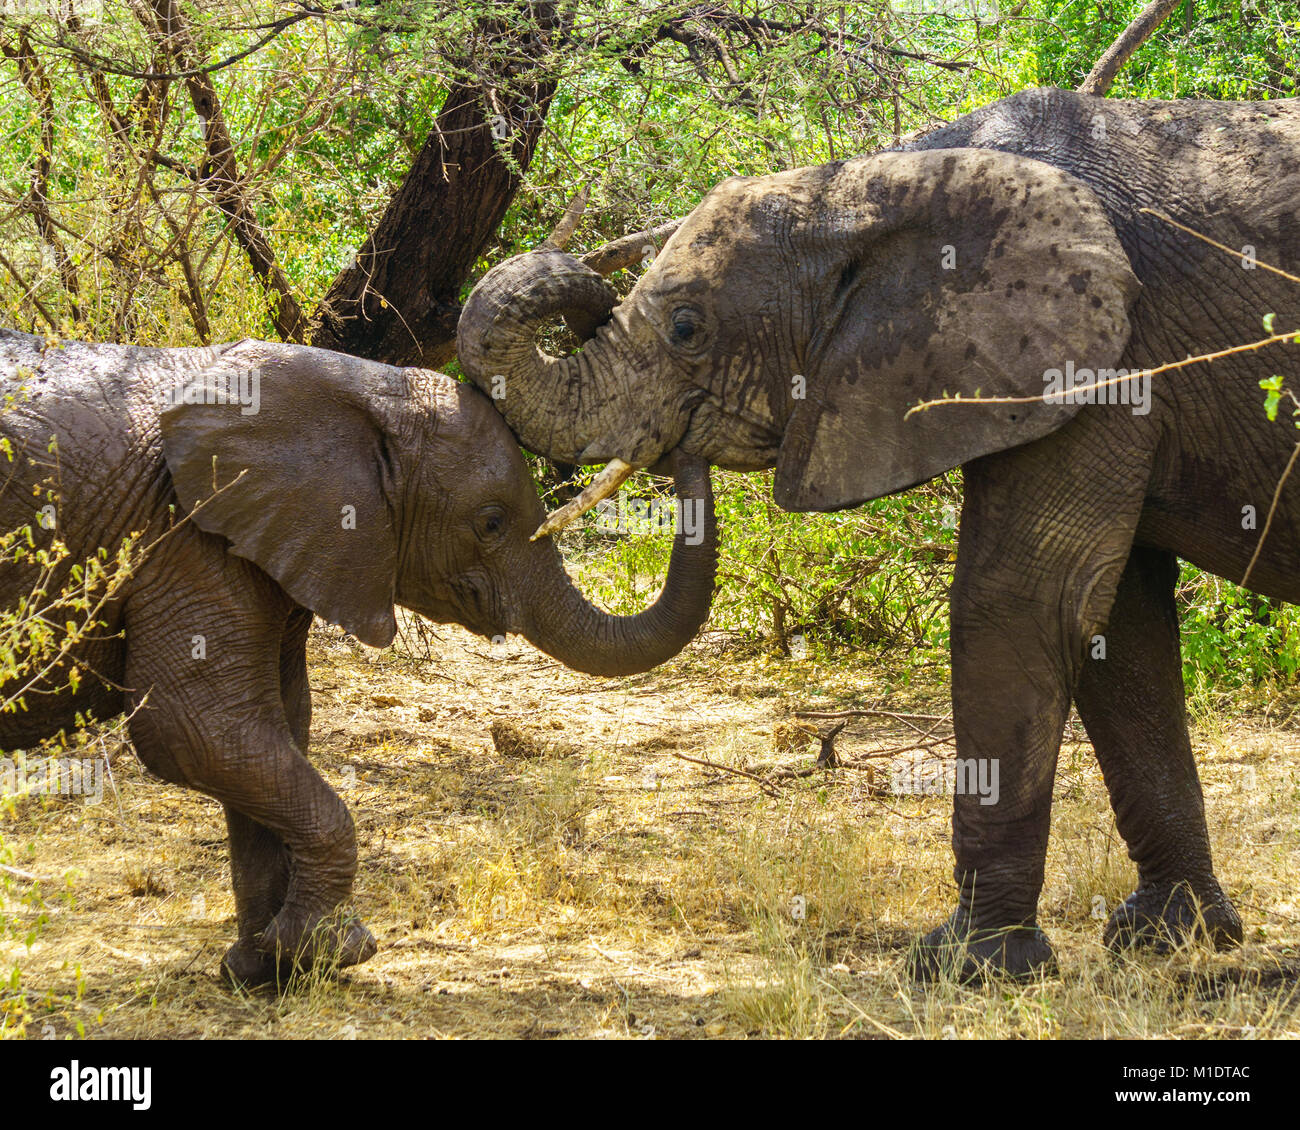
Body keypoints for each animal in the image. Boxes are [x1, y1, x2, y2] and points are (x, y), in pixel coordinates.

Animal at [0, 328, 717, 985]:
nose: (691, 408)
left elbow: (274, 729)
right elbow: (195, 727)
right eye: (489, 523)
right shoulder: (186, 537)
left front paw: (264, 969)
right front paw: (331, 951)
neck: (362, 393)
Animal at [457, 86, 1300, 979]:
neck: (873, 182)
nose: (680, 443)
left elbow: (1020, 603)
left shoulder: (1092, 356)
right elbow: (1120, 627)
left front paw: (964, 965)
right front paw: (1171, 937)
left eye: (686, 327)